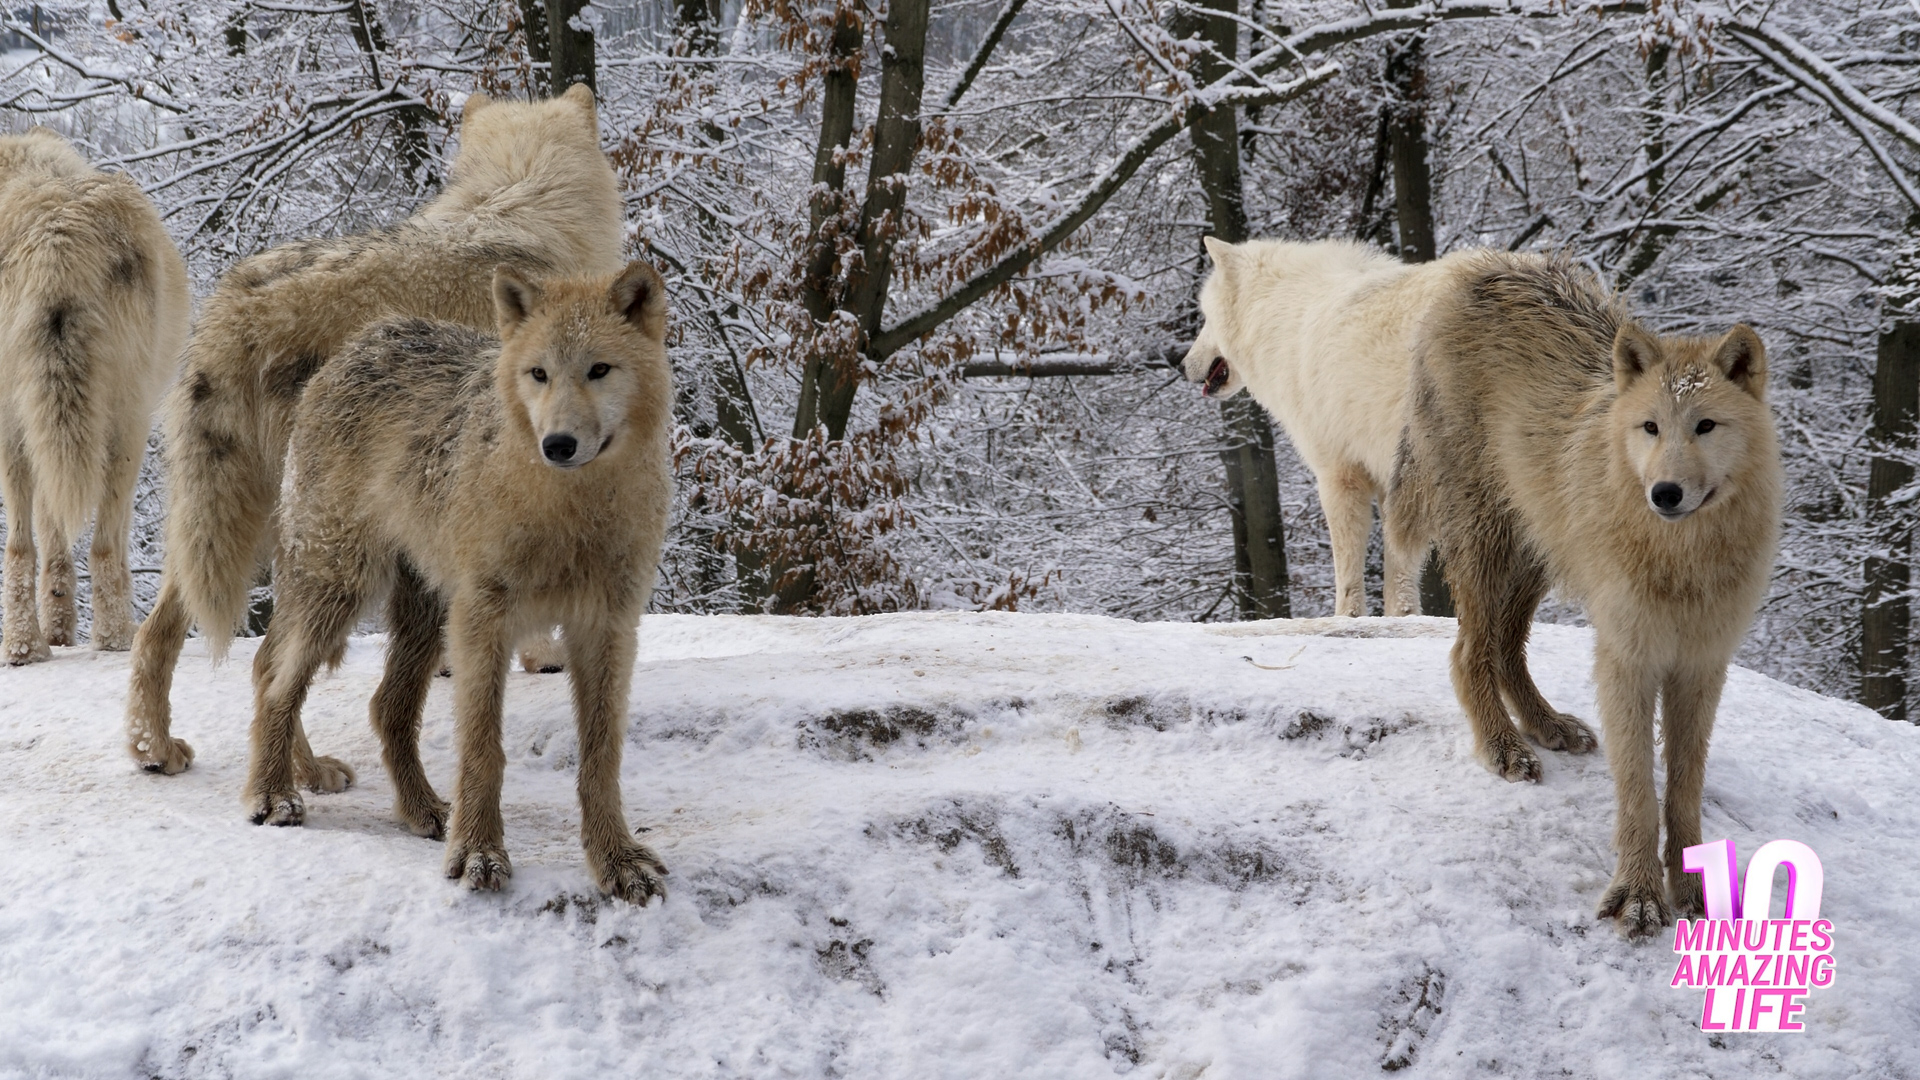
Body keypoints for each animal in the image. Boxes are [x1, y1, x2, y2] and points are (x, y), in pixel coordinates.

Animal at [0, 129, 189, 665]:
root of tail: (55, 239)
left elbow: (51, 530)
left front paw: (58, 631)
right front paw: (65, 630)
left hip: (18, 425)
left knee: (19, 546)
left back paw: (24, 647)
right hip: (127, 424)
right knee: (105, 543)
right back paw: (116, 638)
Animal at [127, 85, 624, 778]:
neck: (518, 195)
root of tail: (237, 308)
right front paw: (540, 652)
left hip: (224, 522)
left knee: (161, 634)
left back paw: (156, 749)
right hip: (316, 532)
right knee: (272, 660)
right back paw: (304, 774)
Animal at [247, 262, 673, 902]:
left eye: (599, 370)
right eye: (539, 374)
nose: (558, 445)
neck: (569, 511)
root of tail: (355, 346)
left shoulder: (608, 629)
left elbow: (600, 758)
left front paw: (616, 859)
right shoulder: (482, 618)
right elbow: (482, 750)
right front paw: (478, 853)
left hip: (422, 615)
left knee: (383, 707)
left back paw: (422, 810)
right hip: (343, 590)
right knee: (277, 683)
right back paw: (274, 794)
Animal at [1180, 238, 1478, 618]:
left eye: (1205, 317)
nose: (1181, 364)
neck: (1284, 322)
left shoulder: (1338, 474)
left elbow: (1348, 566)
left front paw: (1348, 618)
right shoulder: (1389, 475)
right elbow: (1399, 571)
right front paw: (1403, 617)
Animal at [1386, 252, 1781, 937]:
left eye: (1705, 426)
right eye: (1651, 428)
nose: (1665, 493)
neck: (1681, 560)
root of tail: (1474, 268)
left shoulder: (1702, 666)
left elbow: (1684, 787)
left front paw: (1695, 887)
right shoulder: (1625, 659)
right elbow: (1639, 790)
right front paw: (1639, 896)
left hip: (1535, 552)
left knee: (1506, 649)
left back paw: (1547, 726)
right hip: (1489, 543)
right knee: (1467, 654)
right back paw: (1504, 748)